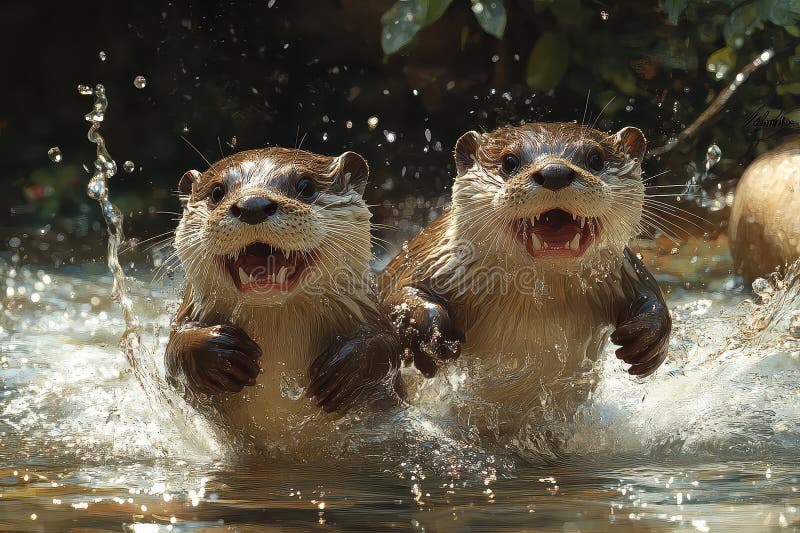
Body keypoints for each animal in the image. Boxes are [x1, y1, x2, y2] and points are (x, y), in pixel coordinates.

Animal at [165, 147, 399, 445]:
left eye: (305, 186)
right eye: (217, 192)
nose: (252, 205)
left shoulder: (369, 310)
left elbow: (387, 342)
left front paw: (347, 366)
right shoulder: (190, 311)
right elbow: (173, 352)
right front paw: (219, 350)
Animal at [379, 122, 671, 437]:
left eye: (595, 158)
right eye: (509, 161)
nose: (555, 172)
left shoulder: (623, 270)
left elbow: (652, 297)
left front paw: (648, 338)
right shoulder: (434, 258)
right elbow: (395, 296)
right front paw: (433, 334)